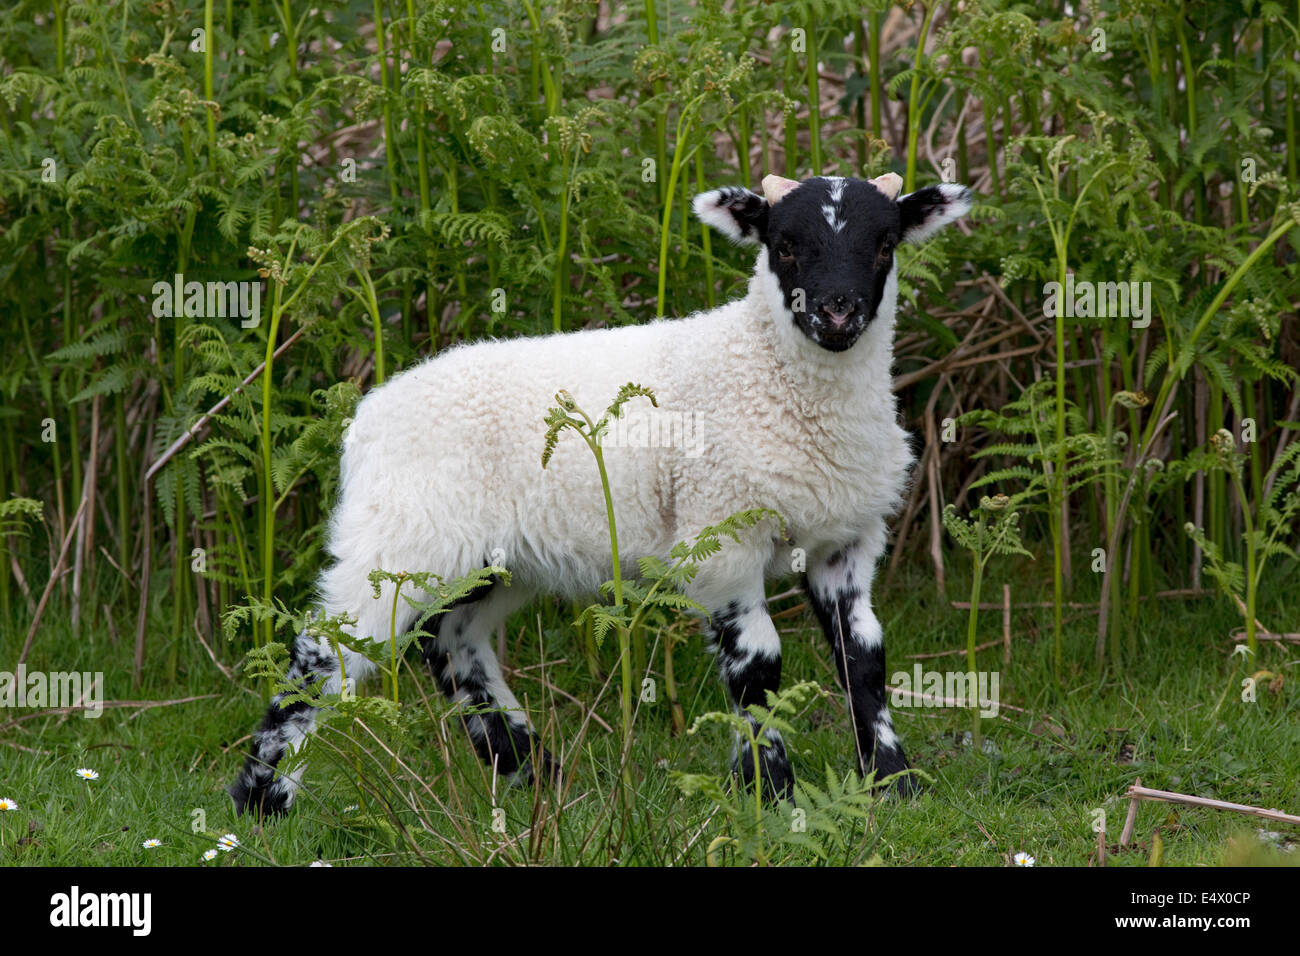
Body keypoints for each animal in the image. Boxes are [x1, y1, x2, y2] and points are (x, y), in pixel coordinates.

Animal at [230, 171, 973, 816]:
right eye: (784, 243)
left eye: (885, 242)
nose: (837, 311)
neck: (766, 370)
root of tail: (367, 417)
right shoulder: (721, 532)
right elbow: (757, 667)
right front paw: (772, 794)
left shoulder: (846, 539)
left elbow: (864, 659)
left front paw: (894, 785)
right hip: (402, 534)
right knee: (324, 652)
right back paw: (263, 799)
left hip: (491, 558)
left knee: (453, 643)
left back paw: (531, 770)